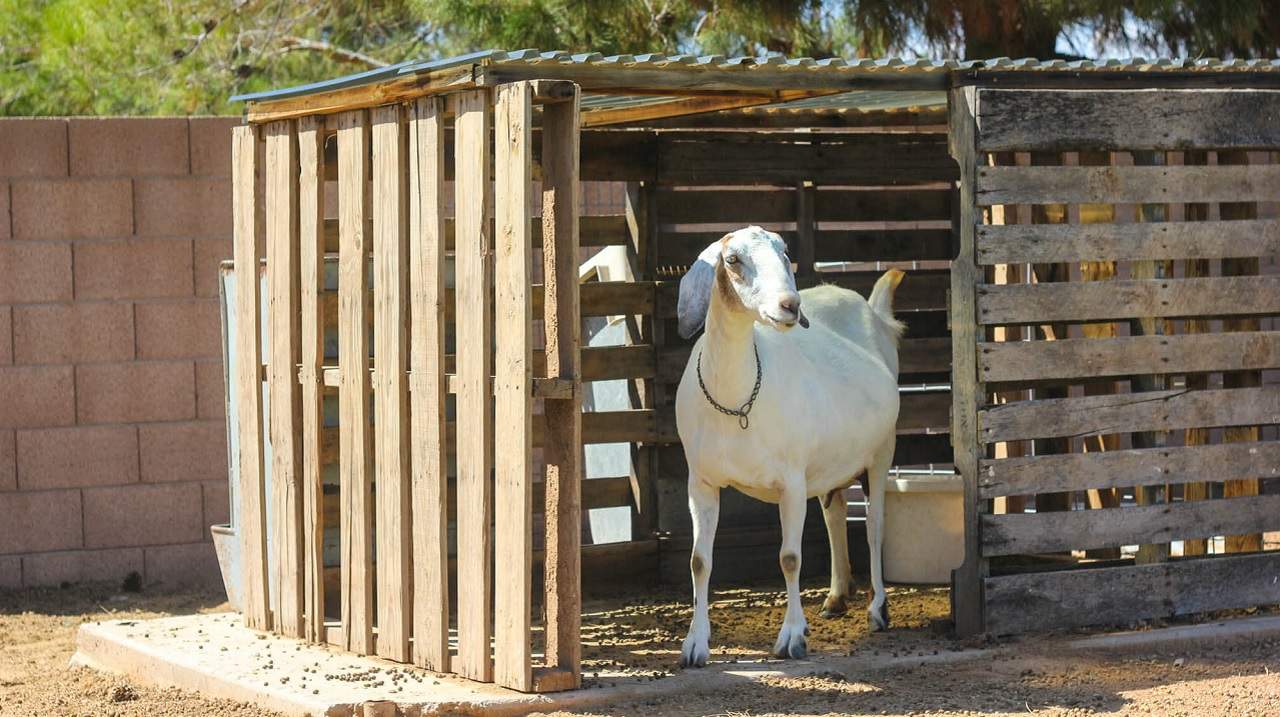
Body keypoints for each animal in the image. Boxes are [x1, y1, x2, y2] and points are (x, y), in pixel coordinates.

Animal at [674, 226, 904, 667]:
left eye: (784, 251)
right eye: (733, 259)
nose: (790, 306)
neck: (737, 401)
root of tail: (871, 311)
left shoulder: (791, 482)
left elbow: (790, 558)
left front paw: (792, 638)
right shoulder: (700, 481)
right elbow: (698, 561)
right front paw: (694, 645)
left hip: (883, 449)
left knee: (876, 526)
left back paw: (878, 610)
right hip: (832, 460)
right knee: (835, 513)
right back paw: (835, 597)